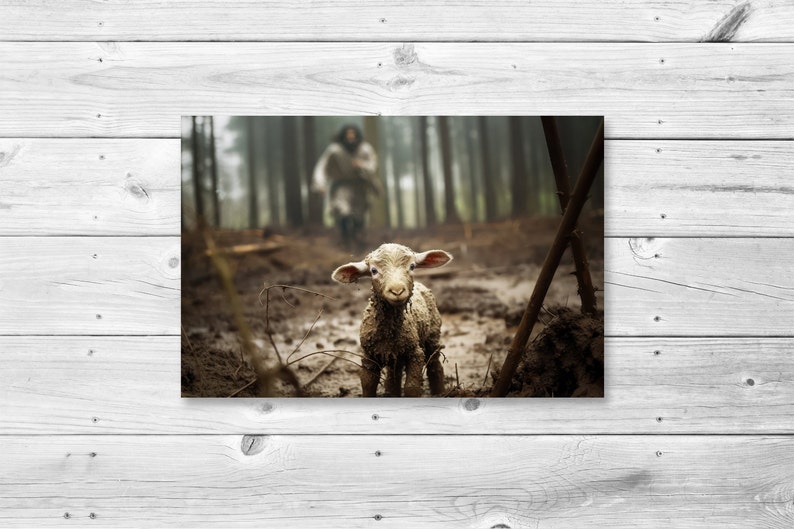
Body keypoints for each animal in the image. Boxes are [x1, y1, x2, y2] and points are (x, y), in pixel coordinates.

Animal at [332, 243, 453, 397]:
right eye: (373, 270)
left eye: (412, 266)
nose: (397, 291)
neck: (388, 332)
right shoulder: (369, 356)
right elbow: (367, 384)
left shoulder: (415, 353)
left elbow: (412, 387)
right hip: (395, 353)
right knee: (394, 374)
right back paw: (392, 392)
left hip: (433, 333)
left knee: (434, 363)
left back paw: (440, 392)